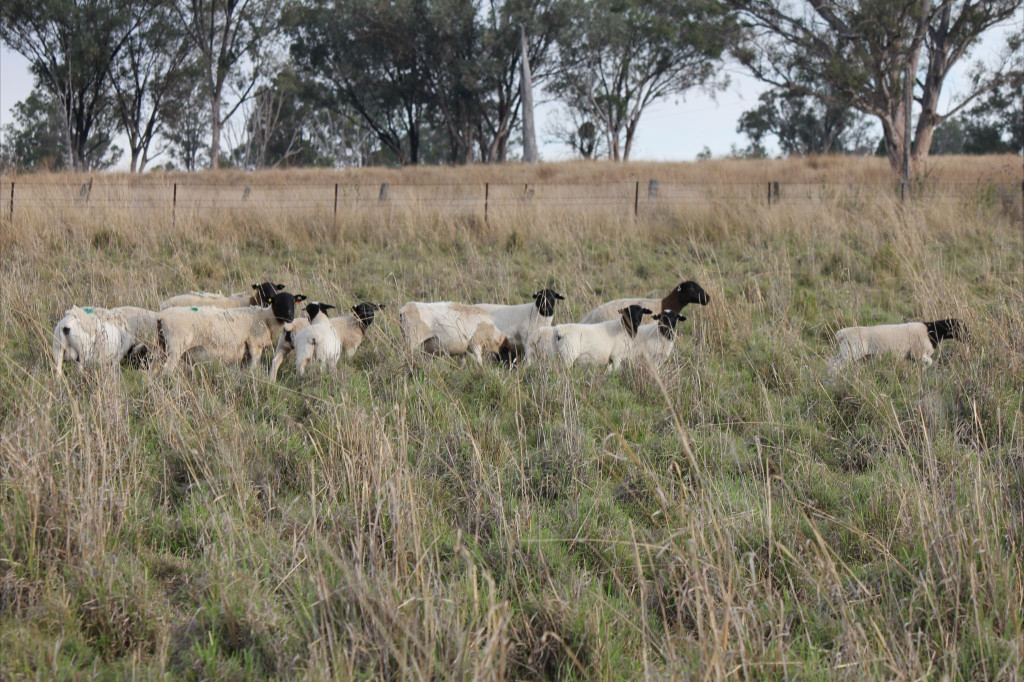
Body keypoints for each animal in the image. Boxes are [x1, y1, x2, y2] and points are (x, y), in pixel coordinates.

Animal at [156, 292, 305, 372]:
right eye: (277, 301)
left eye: (293, 301)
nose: (290, 316)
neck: (266, 319)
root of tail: (163, 314)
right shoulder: (254, 345)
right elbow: (254, 367)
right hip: (175, 346)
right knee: (167, 369)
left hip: (162, 346)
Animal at [827, 319, 969, 371]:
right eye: (962, 328)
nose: (969, 339)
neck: (931, 331)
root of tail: (841, 333)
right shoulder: (918, 353)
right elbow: (929, 362)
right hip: (851, 352)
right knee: (835, 364)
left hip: (847, 352)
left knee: (832, 361)